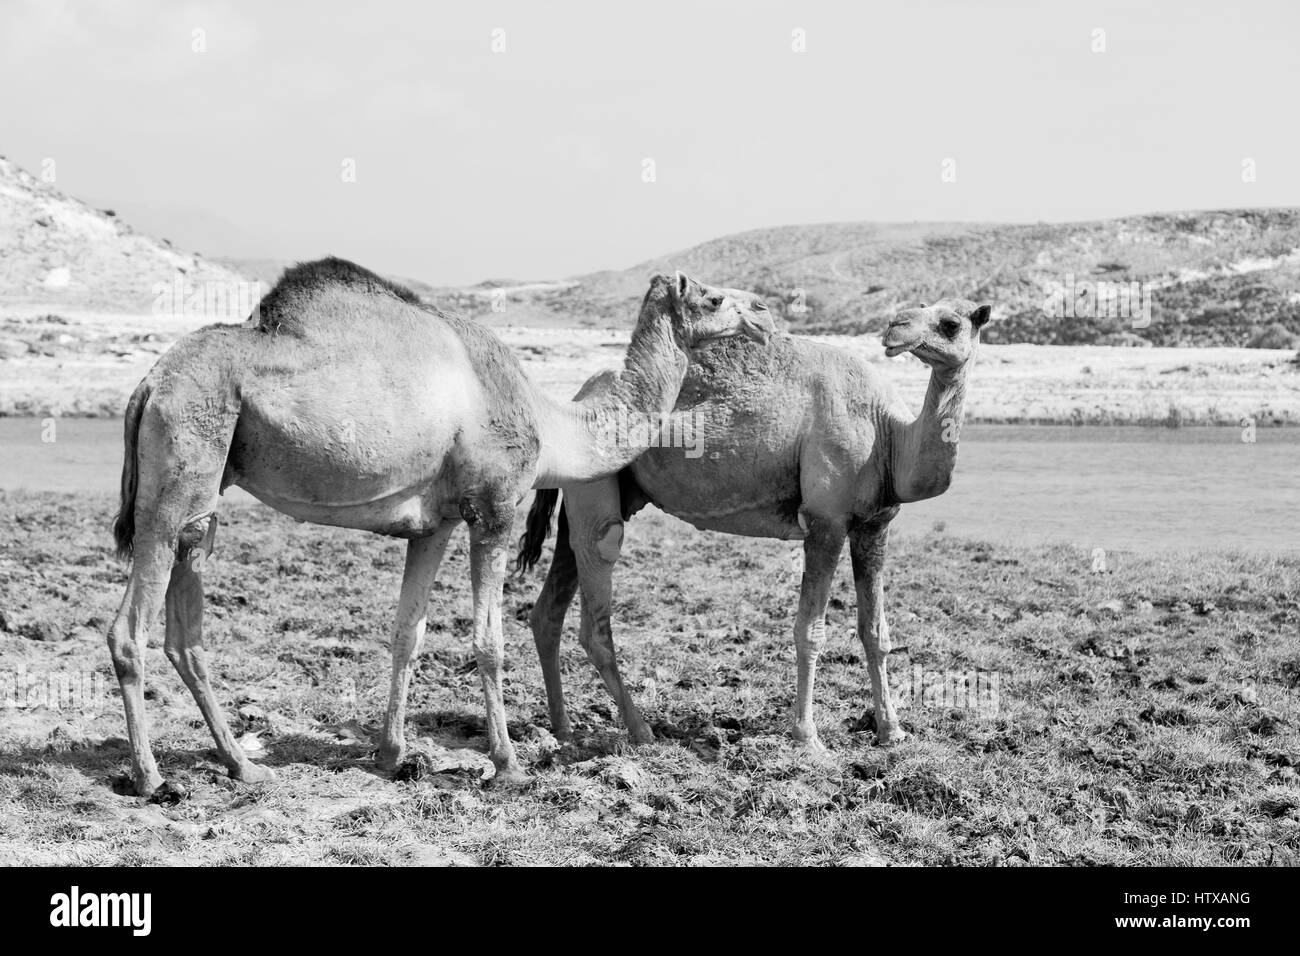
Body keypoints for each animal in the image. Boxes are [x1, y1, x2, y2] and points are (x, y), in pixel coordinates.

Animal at [107, 258, 773, 796]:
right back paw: (151, 777)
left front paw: (392, 754)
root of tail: (147, 385)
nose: (766, 313)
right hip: (178, 471)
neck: (549, 420)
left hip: (206, 491)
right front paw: (508, 765)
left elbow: (409, 631)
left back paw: (243, 766)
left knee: (185, 626)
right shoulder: (495, 508)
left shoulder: (436, 524)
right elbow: (488, 641)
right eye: (715, 298)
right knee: (128, 630)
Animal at [517, 299, 990, 749]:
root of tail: (576, 398)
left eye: (951, 323)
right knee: (597, 595)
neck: (887, 434)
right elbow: (810, 631)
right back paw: (640, 730)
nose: (895, 327)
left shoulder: (875, 524)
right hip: (598, 490)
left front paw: (893, 733)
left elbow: (875, 632)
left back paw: (563, 729)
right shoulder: (825, 520)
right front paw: (808, 738)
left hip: (587, 491)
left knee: (549, 607)